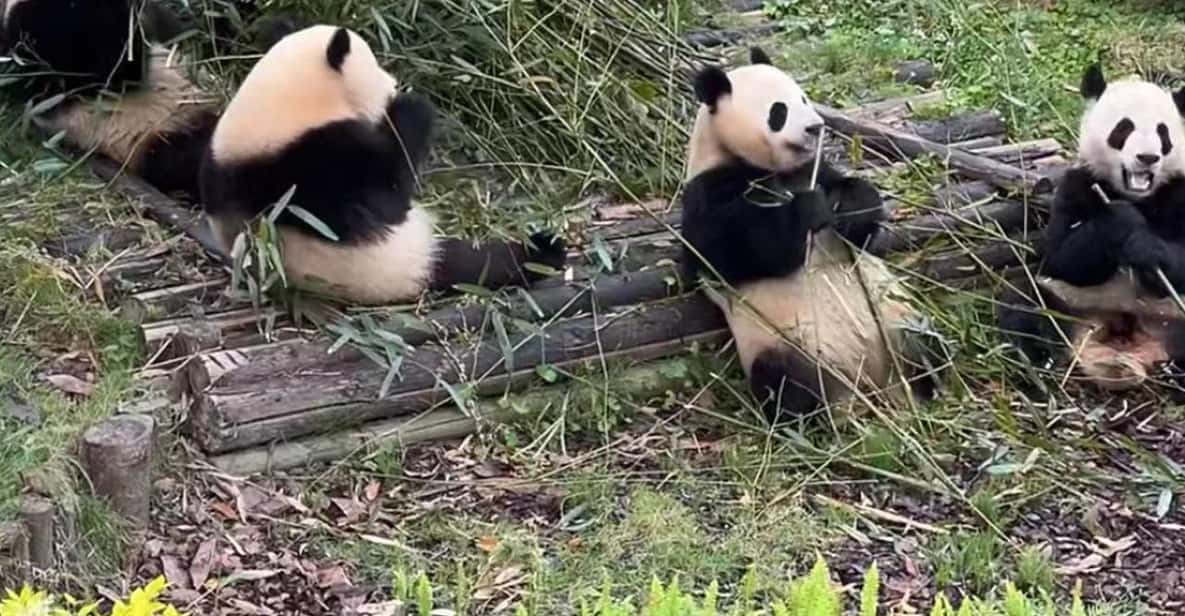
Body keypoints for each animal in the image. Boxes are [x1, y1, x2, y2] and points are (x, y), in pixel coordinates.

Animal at [199, 25, 567, 306]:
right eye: (375, 65)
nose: (393, 82)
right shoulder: (318, 162)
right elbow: (387, 191)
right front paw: (409, 107)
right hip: (404, 261)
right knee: (478, 263)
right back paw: (544, 252)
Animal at [679, 47, 941, 423]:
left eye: (803, 97)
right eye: (779, 111)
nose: (816, 127)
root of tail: (870, 383)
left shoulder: (813, 170)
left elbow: (859, 223)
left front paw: (848, 208)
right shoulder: (708, 191)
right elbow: (734, 249)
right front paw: (808, 210)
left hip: (897, 314)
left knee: (923, 341)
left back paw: (930, 387)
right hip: (784, 343)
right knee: (787, 384)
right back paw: (819, 418)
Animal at [997, 63, 1185, 392]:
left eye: (1163, 133)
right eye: (1123, 129)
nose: (1147, 157)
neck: (1136, 196)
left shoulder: (1180, 189)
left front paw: (1146, 247)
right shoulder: (1077, 183)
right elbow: (1062, 255)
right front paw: (1123, 220)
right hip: (1065, 300)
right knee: (1023, 303)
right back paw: (1038, 367)